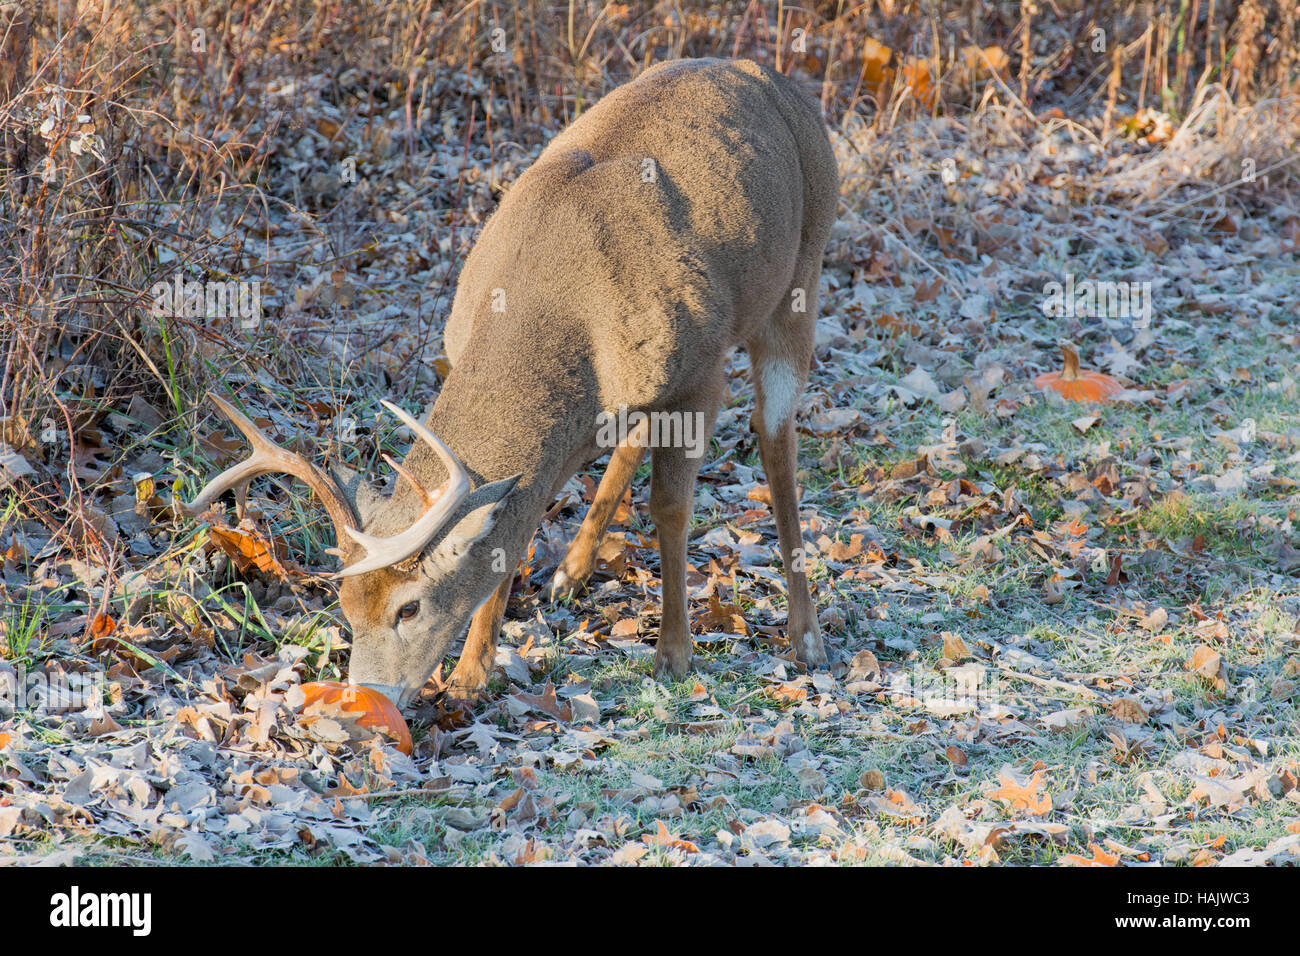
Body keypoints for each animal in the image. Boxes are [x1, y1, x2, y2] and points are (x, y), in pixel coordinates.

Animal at [182, 58, 838, 708]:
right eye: (343, 603)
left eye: (409, 608)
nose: (368, 697)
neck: (563, 310)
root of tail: (766, 75)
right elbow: (515, 525)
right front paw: (471, 674)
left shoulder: (700, 375)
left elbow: (671, 508)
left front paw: (673, 656)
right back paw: (570, 573)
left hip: (800, 281)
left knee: (776, 437)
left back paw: (806, 637)